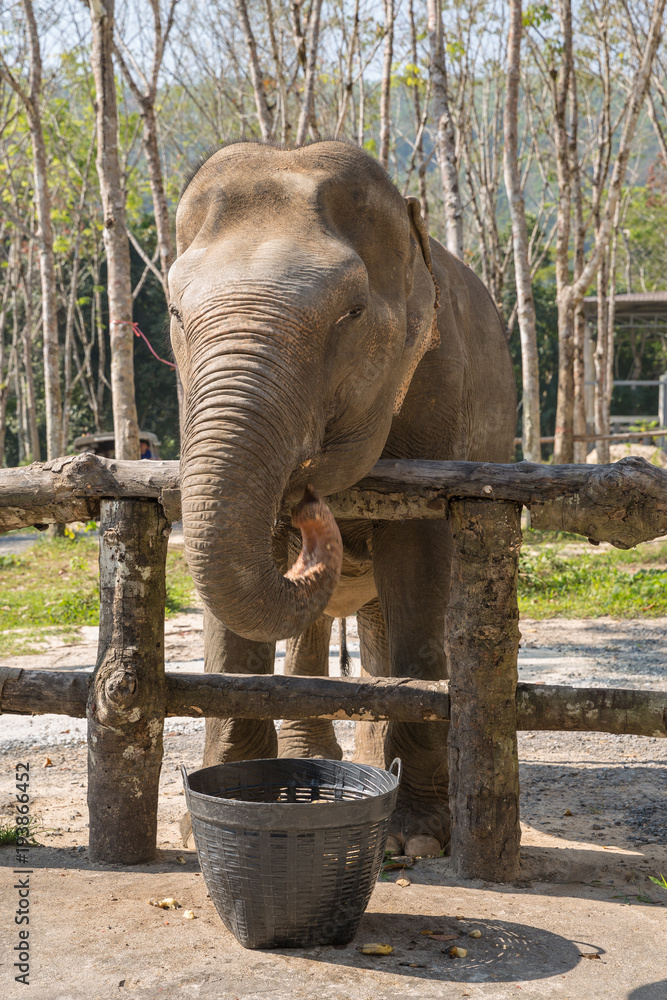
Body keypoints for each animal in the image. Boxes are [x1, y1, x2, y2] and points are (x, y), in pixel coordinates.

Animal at [169, 139, 516, 857]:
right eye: (175, 314)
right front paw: (200, 823)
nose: (305, 497)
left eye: (351, 313)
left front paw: (415, 839)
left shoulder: (441, 392)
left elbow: (420, 569)